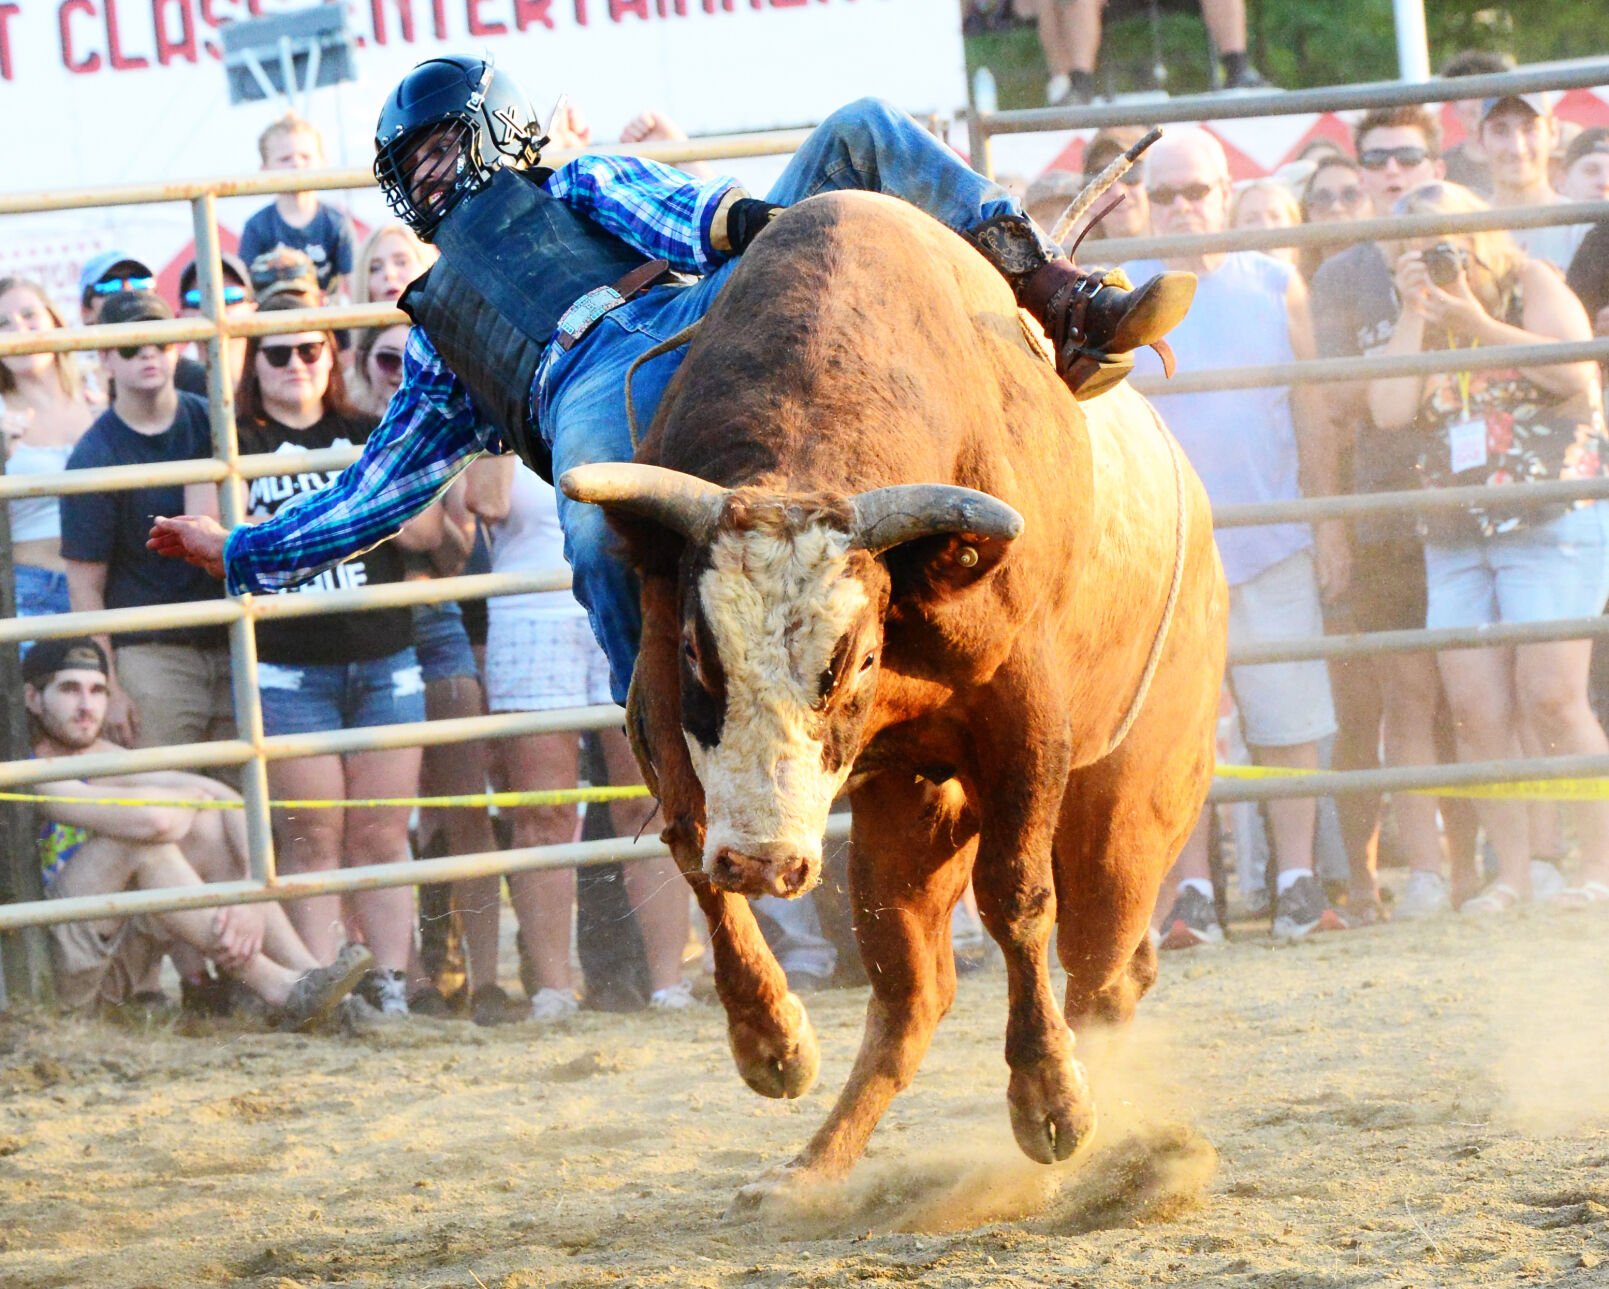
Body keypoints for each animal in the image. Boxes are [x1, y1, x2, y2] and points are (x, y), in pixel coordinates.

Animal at [562, 189, 1228, 1206]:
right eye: (699, 650)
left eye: (858, 656)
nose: (764, 862)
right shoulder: (657, 679)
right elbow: (685, 836)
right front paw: (770, 1039)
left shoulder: (1024, 712)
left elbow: (1016, 896)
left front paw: (1050, 1104)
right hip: (911, 812)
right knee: (914, 994)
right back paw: (811, 1168)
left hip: (1131, 807)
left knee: (1101, 969)